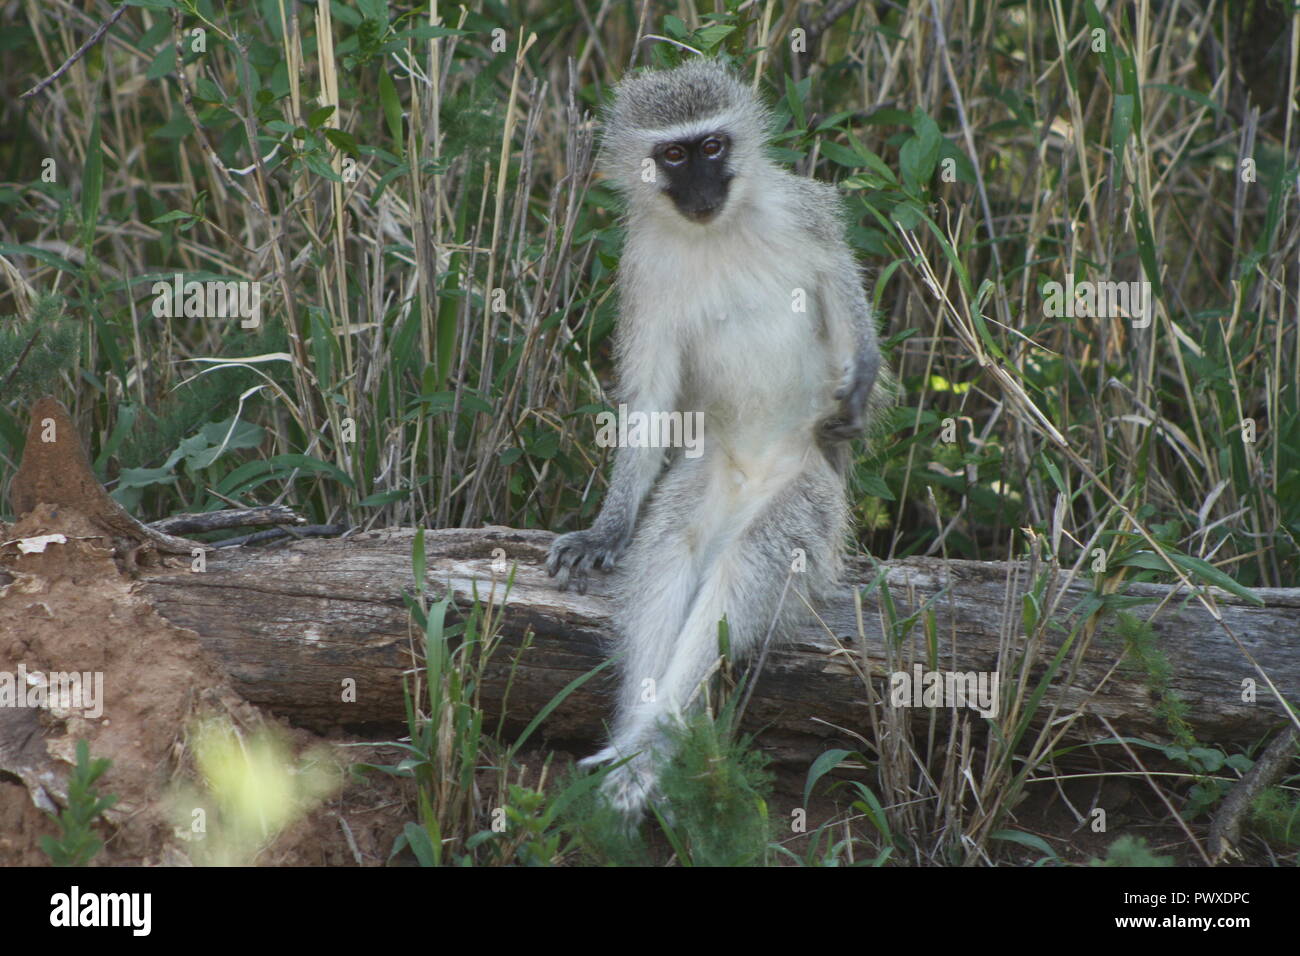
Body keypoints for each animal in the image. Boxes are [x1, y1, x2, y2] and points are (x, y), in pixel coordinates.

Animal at [546, 58, 887, 820]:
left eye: (712, 147)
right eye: (674, 155)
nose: (702, 190)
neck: (715, 233)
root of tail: (750, 483)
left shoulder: (801, 209)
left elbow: (839, 277)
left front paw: (862, 378)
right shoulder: (642, 270)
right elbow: (648, 400)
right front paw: (605, 528)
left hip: (812, 502)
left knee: (746, 565)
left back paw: (653, 748)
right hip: (708, 475)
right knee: (670, 550)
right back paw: (637, 750)